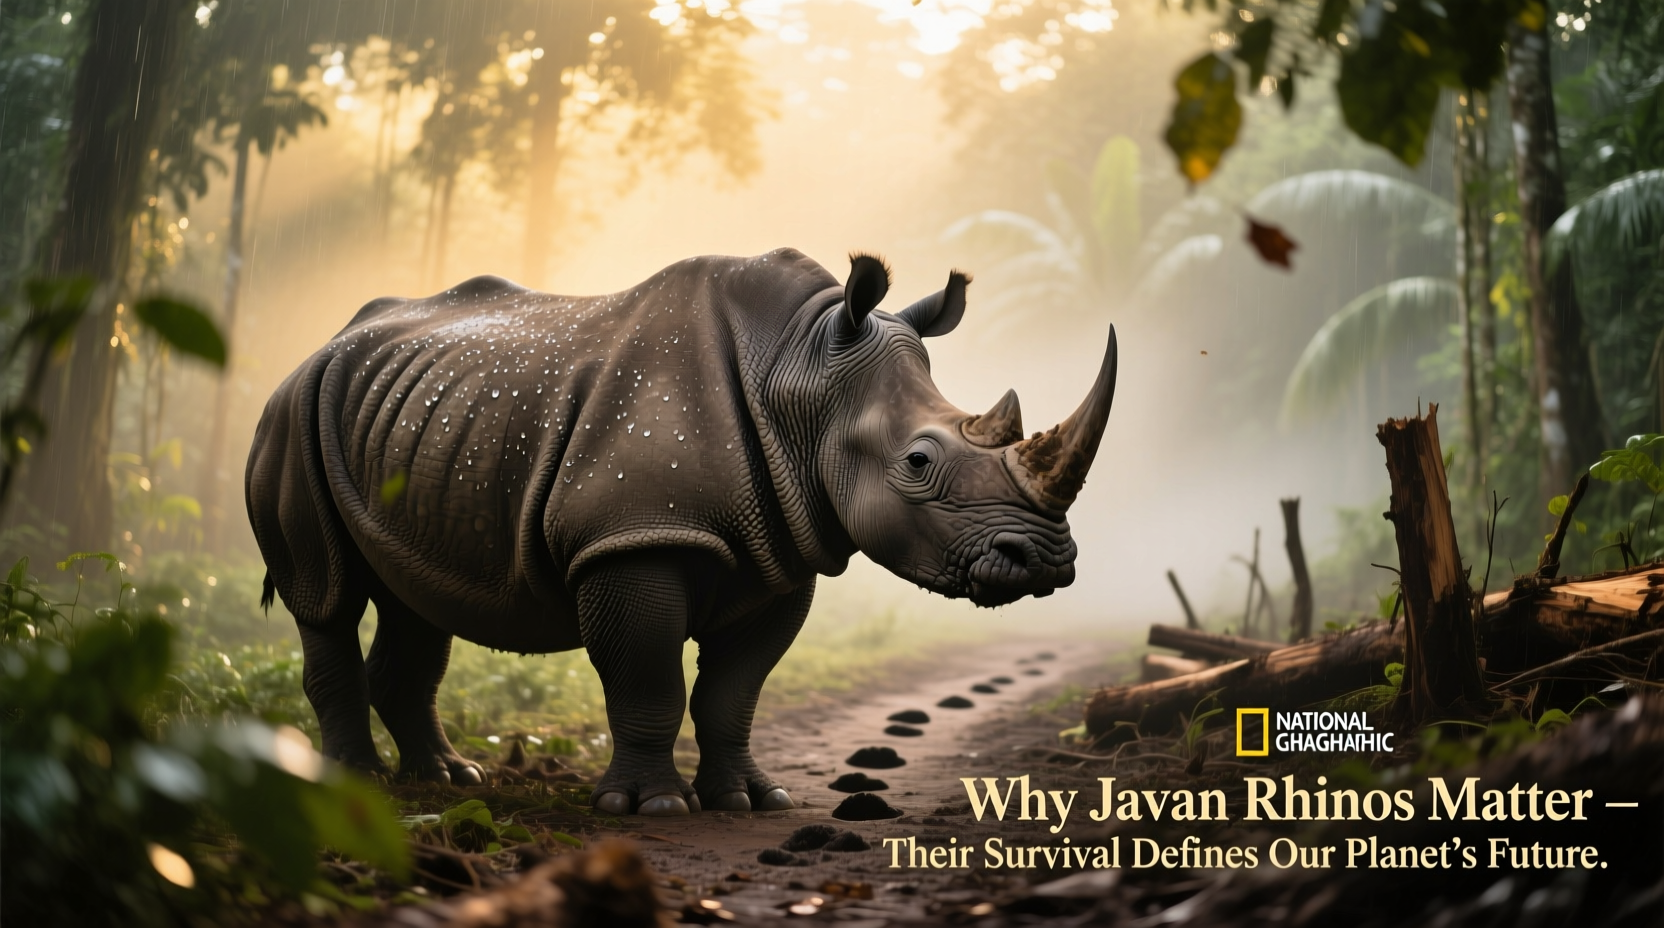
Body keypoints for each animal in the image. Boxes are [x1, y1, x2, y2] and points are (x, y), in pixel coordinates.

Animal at [247, 248, 1115, 815]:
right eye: (918, 460)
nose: (1046, 561)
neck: (801, 371)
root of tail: (317, 348)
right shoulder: (633, 537)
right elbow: (649, 676)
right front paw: (650, 808)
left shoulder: (780, 555)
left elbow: (735, 689)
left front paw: (751, 800)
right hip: (290, 416)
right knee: (325, 598)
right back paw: (357, 783)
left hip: (407, 424)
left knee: (415, 606)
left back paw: (448, 781)